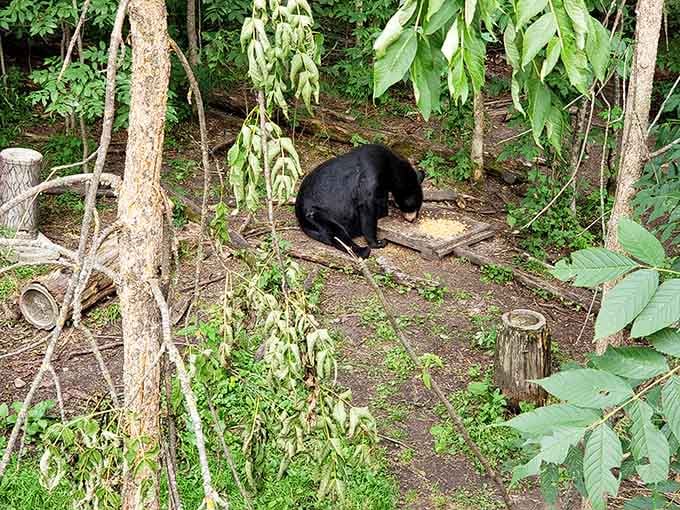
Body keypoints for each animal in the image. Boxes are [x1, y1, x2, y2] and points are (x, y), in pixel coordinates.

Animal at [295, 144, 425, 258]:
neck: (389, 168)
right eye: (414, 207)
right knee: (336, 234)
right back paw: (364, 250)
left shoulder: (382, 187)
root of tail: (298, 212)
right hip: (317, 215)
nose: (412, 219)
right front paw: (377, 242)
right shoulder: (370, 175)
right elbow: (367, 205)